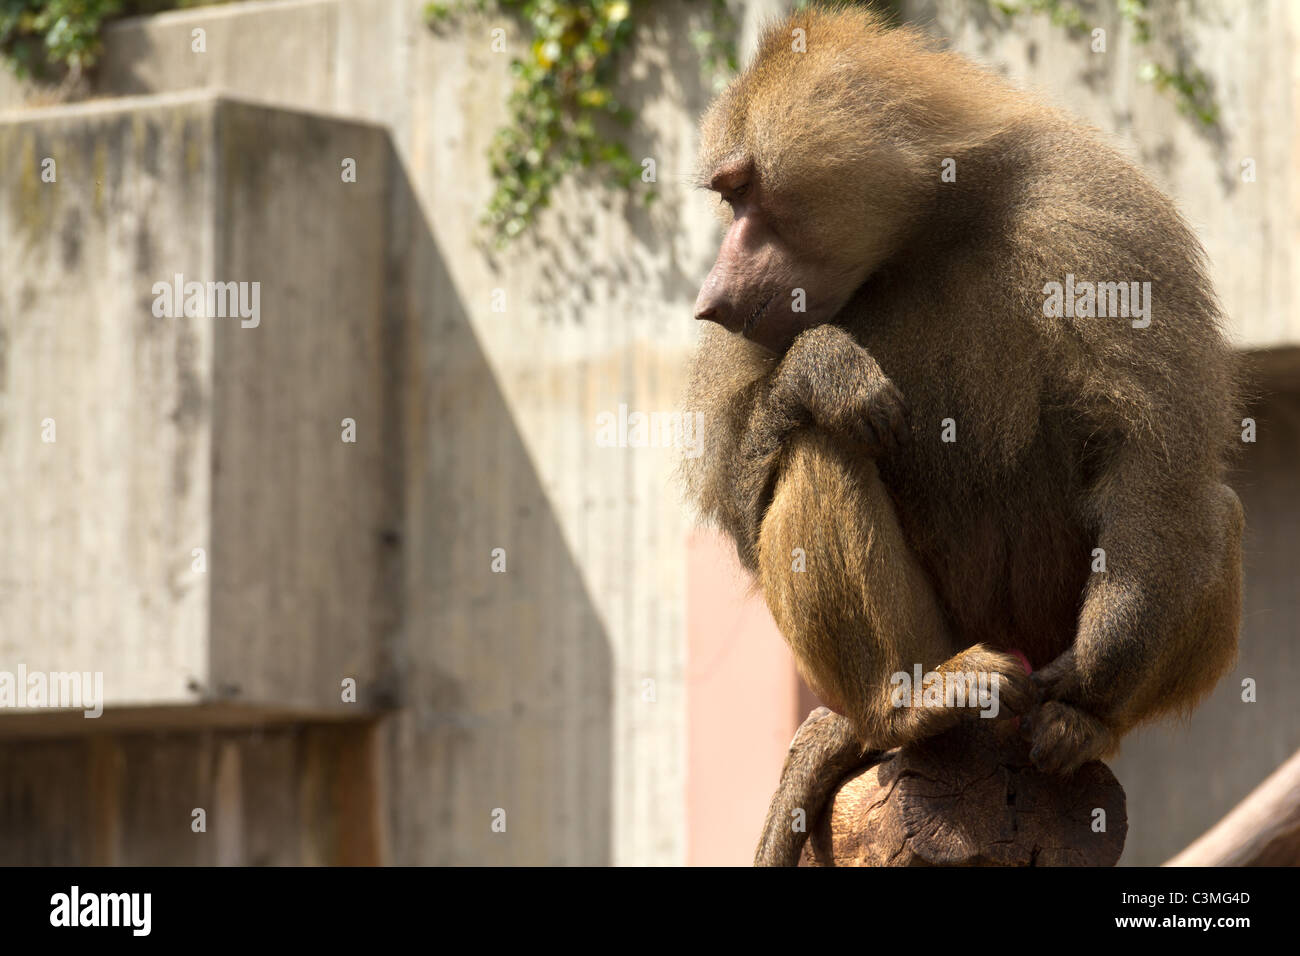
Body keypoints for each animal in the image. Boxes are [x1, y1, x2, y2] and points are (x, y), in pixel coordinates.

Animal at [681, 6, 1244, 867]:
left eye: (745, 191)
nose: (710, 301)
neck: (924, 235)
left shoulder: (1088, 209)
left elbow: (1155, 448)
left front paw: (1101, 662)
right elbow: (747, 515)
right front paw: (821, 366)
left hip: (1042, 631)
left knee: (1207, 508)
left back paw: (1086, 724)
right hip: (951, 637)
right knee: (820, 445)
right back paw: (910, 702)